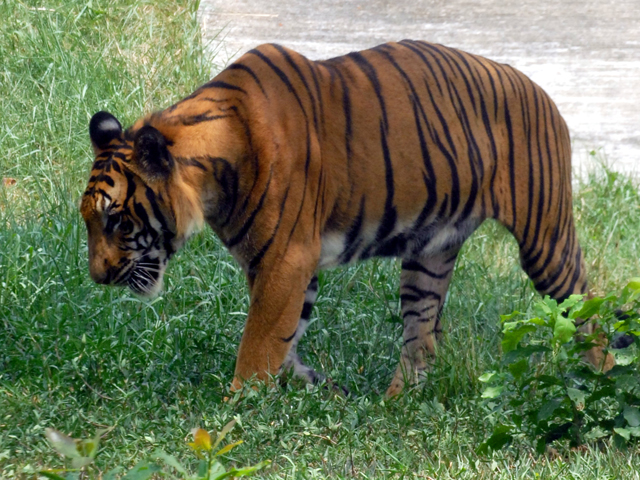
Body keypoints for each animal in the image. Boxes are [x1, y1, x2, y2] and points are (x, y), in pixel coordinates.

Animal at [81, 40, 613, 398]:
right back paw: (396, 403)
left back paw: (607, 384)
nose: (98, 278)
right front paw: (313, 384)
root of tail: (540, 90)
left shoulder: (287, 258)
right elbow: (286, 335)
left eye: (116, 221)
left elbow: (260, 339)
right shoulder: (278, 264)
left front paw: (237, 407)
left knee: (589, 310)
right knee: (422, 337)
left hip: (545, 240)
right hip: (429, 256)